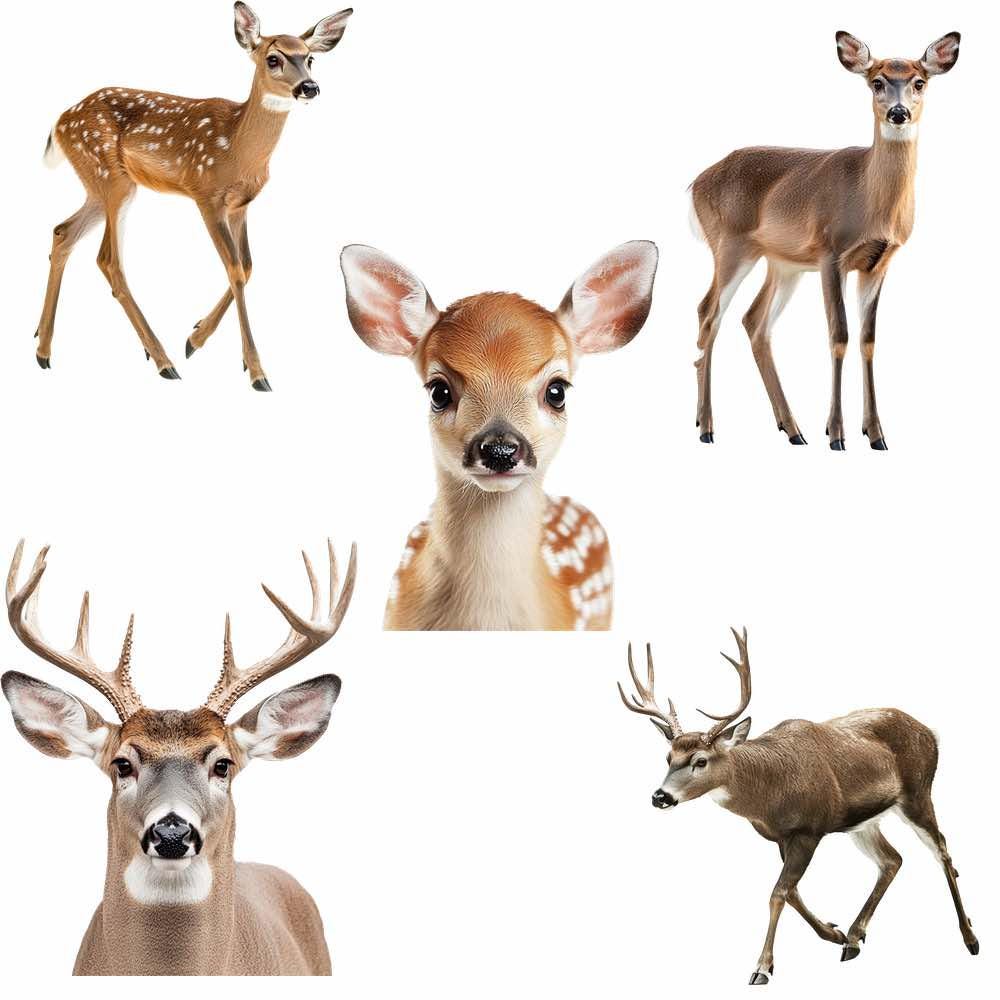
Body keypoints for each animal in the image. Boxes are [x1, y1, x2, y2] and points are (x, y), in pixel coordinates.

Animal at [34, 3, 353, 390]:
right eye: (273, 58)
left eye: (310, 58)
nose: (309, 86)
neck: (238, 149)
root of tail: (59, 122)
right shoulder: (206, 195)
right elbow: (234, 269)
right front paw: (256, 371)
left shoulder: (241, 205)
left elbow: (248, 266)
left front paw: (196, 337)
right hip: (112, 179)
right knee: (108, 260)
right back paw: (163, 360)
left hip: (99, 185)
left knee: (62, 232)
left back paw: (43, 349)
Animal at [618, 629, 979, 986]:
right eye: (667, 757)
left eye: (701, 761)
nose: (660, 797)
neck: (768, 792)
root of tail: (931, 733)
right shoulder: (781, 837)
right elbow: (792, 892)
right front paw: (833, 933)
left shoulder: (810, 829)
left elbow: (779, 892)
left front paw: (762, 968)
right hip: (863, 823)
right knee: (893, 859)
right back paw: (854, 938)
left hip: (918, 793)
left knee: (942, 850)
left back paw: (970, 938)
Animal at [690, 31, 960, 449]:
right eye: (876, 82)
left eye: (919, 82)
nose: (898, 113)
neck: (869, 201)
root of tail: (695, 183)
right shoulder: (831, 253)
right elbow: (839, 334)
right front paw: (836, 433)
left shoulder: (878, 262)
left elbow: (868, 339)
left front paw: (876, 434)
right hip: (729, 244)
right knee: (708, 313)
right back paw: (706, 426)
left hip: (782, 263)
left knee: (754, 321)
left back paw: (792, 429)